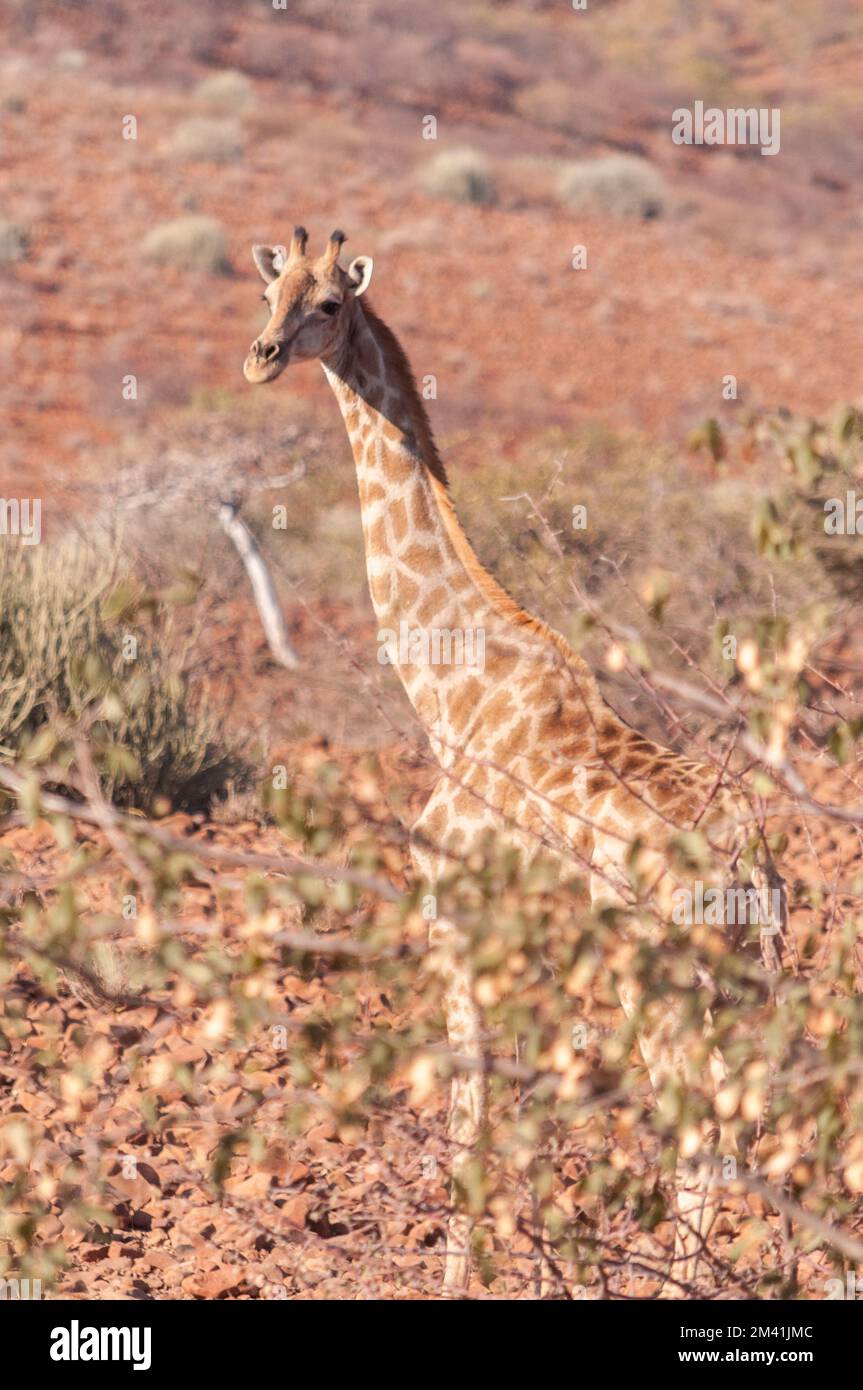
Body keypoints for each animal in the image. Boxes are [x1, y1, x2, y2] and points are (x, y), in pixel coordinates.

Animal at [243, 227, 786, 1296]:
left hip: (659, 976)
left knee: (698, 1114)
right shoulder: (524, 946)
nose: (262, 357)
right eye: (271, 289)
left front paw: (458, 1278)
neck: (446, 682)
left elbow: (472, 1107)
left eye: (330, 304)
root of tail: (745, 852)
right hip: (744, 966)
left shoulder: (456, 911)